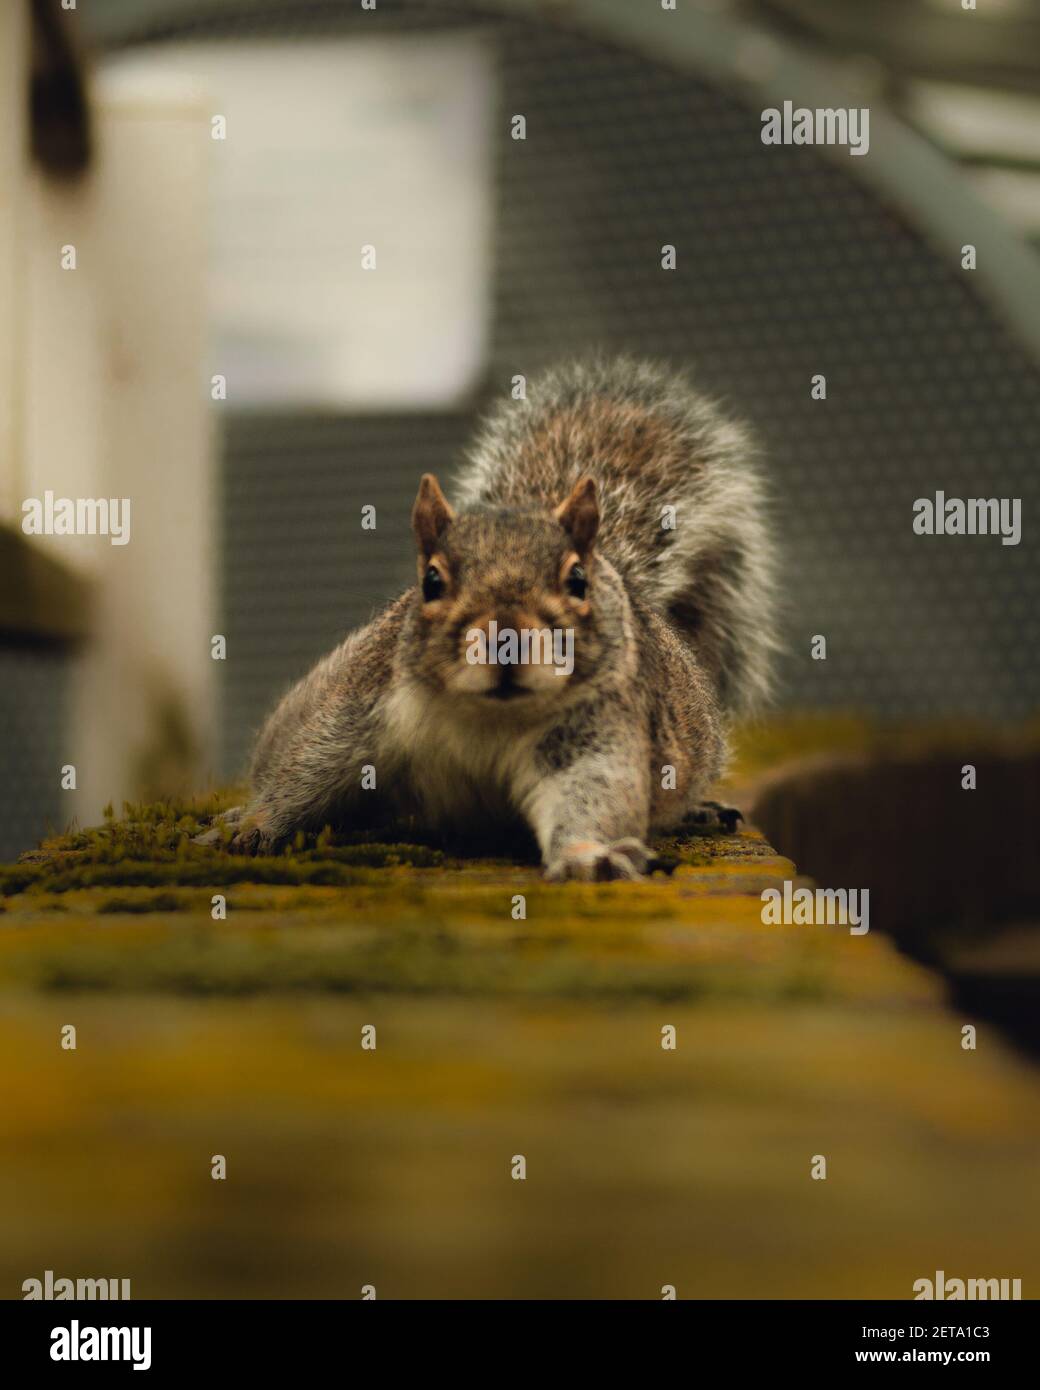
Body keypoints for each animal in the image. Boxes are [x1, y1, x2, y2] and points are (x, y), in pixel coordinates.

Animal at [216, 357, 776, 881]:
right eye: (431, 581)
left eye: (577, 581)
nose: (507, 642)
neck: (488, 714)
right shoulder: (361, 706)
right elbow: (307, 768)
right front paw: (256, 826)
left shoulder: (594, 731)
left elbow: (590, 795)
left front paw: (588, 856)